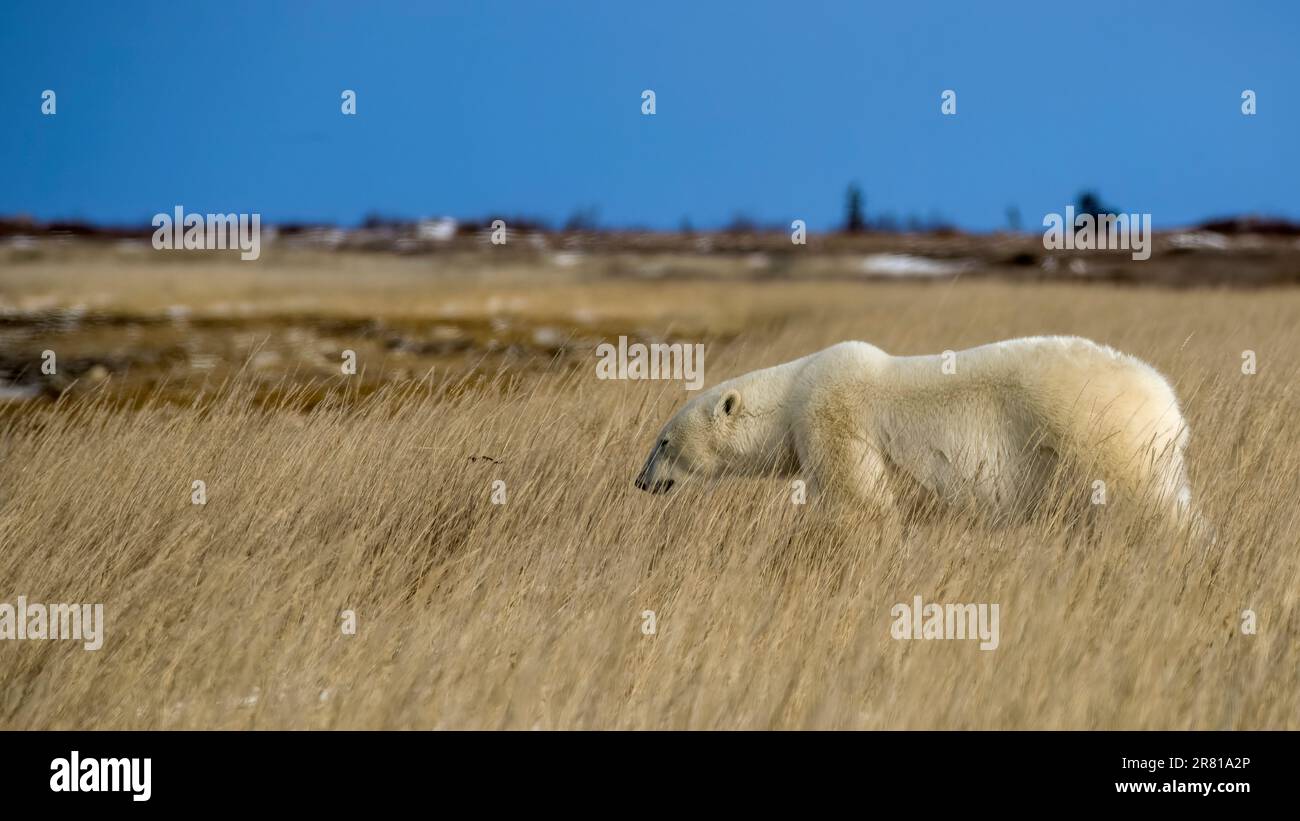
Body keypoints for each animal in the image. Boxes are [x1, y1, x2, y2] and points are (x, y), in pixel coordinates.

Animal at [634, 336, 1198, 530]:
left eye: (662, 441)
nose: (640, 482)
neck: (794, 394)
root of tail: (1168, 404)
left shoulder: (833, 417)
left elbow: (860, 501)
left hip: (1100, 436)